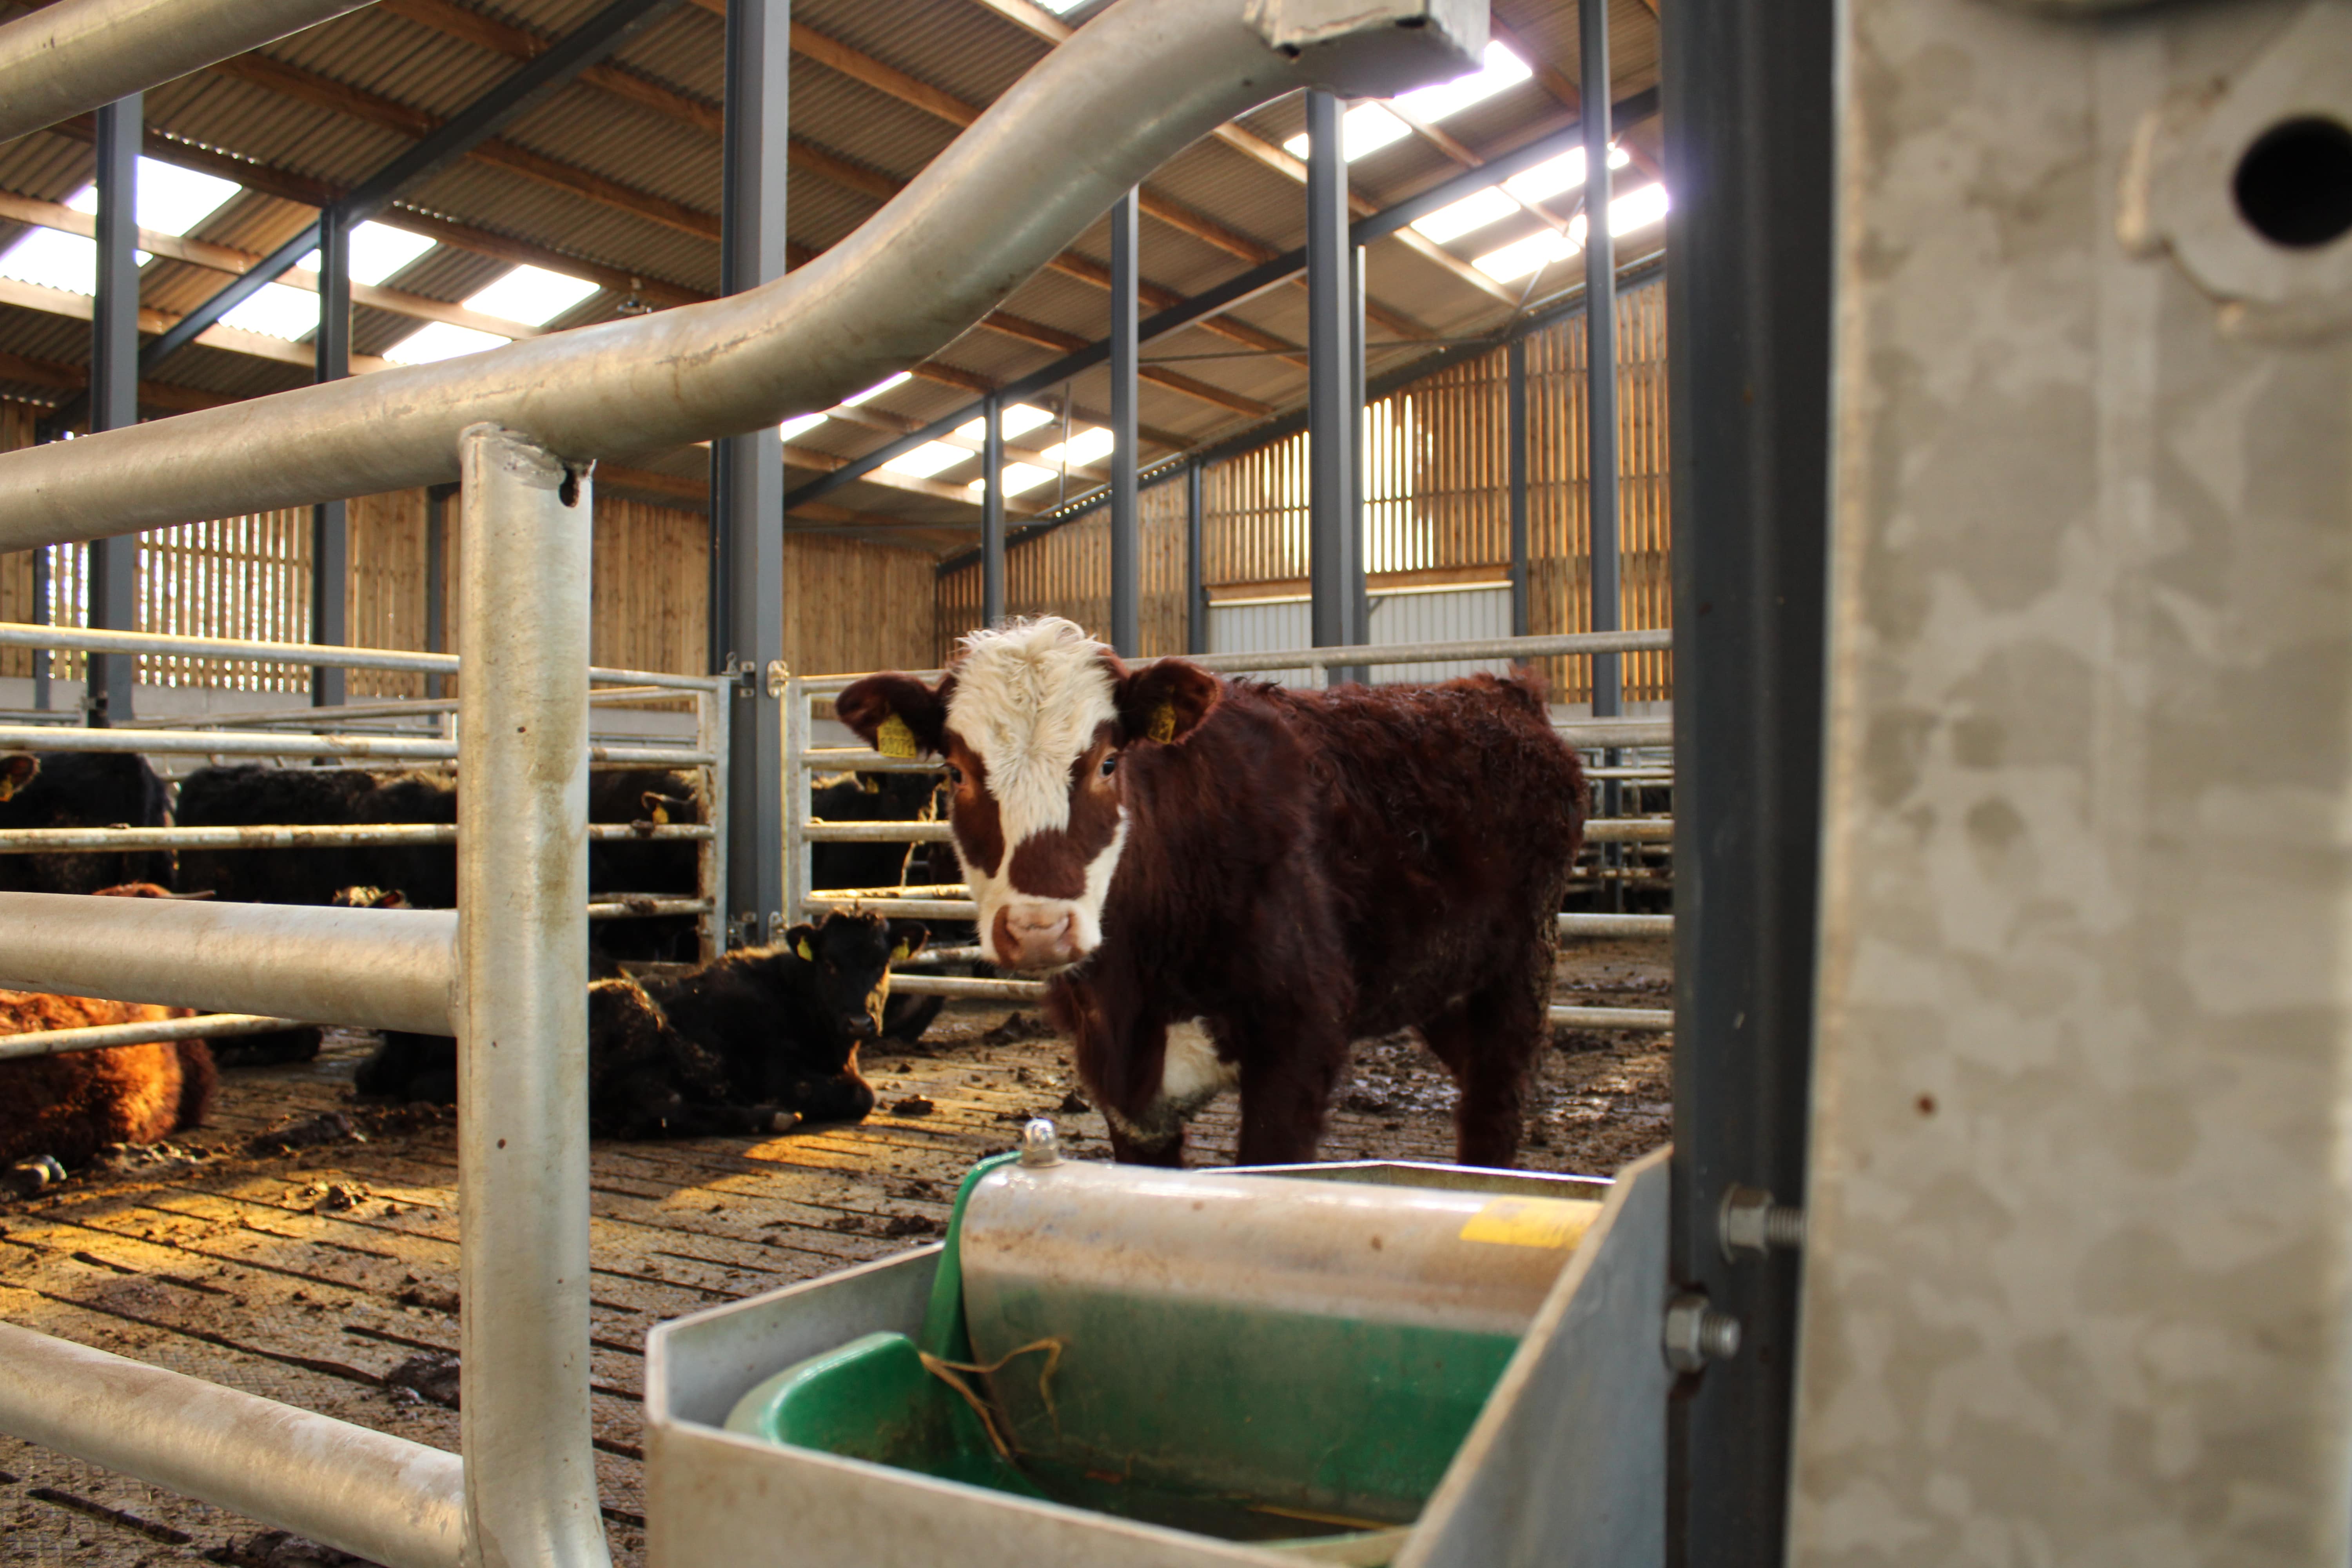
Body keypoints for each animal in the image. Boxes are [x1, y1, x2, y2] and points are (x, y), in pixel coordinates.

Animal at [835, 616, 1587, 1169]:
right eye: (957, 773)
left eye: (1108, 761)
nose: (1039, 929)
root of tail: (1498, 690)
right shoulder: (1121, 1078)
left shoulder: (1300, 1040)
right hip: (1439, 979)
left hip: (1521, 970)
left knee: (1493, 1107)